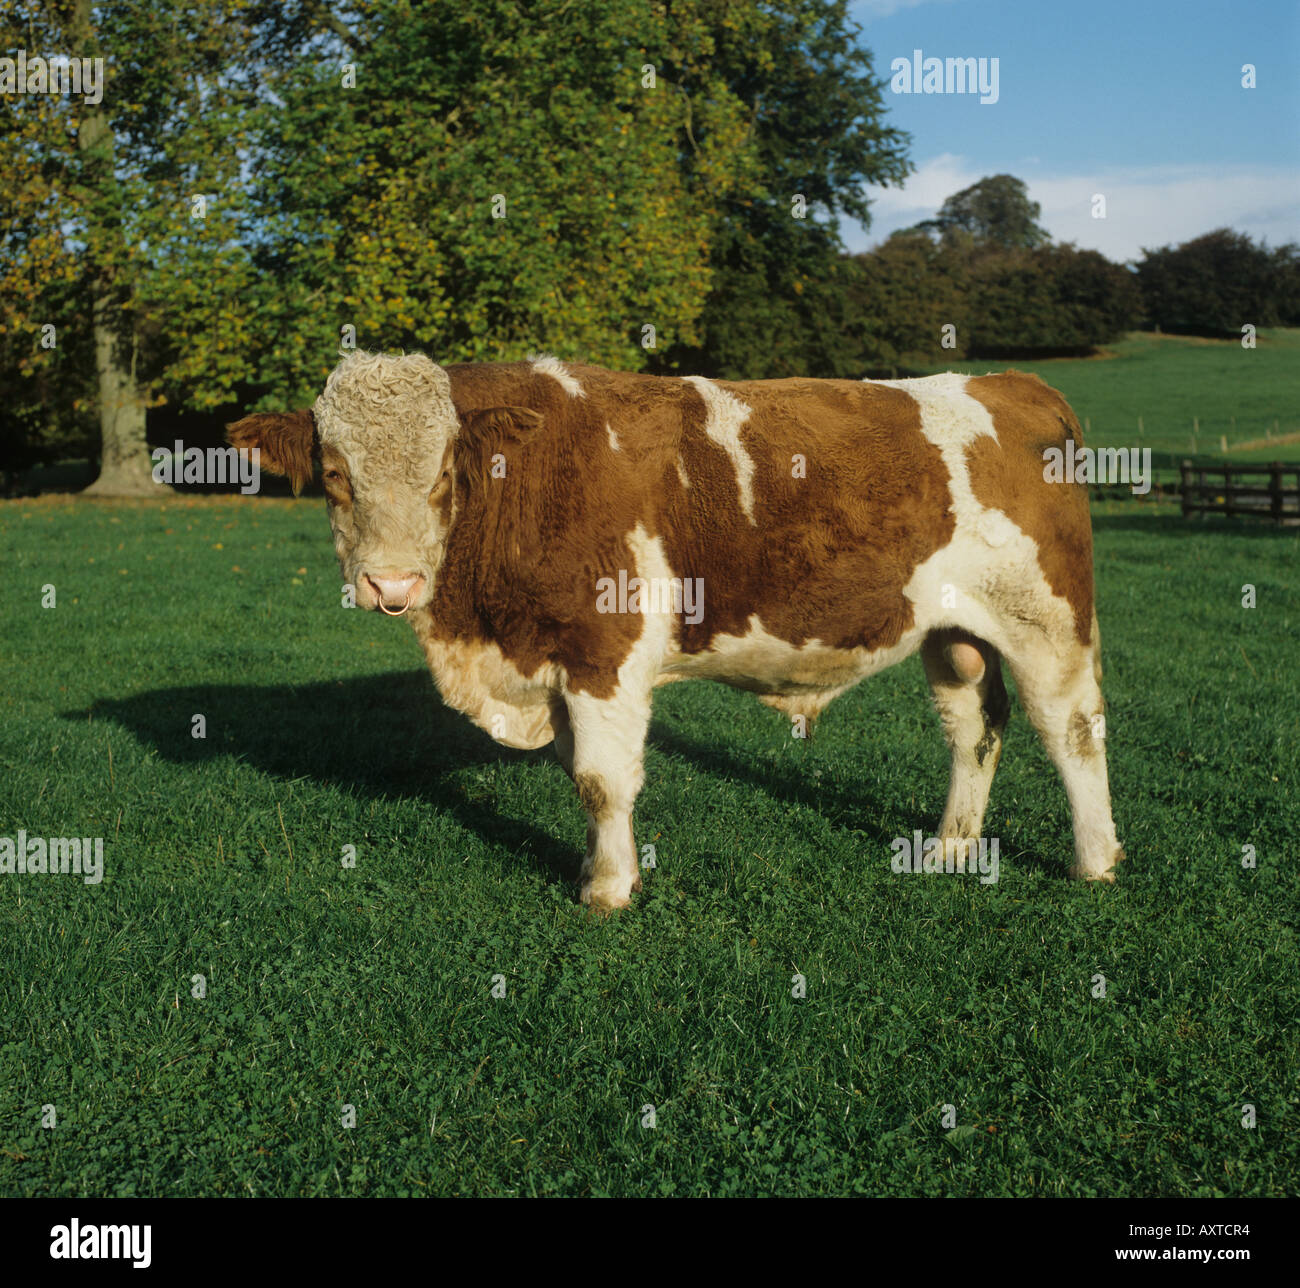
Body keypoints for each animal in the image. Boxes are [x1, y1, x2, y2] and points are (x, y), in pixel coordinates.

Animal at [228, 351, 1124, 910]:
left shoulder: (606, 650)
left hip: (1047, 618)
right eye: (335, 474)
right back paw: (948, 848)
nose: (392, 583)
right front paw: (597, 865)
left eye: (445, 471)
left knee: (1072, 728)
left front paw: (607, 890)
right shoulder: (561, 666)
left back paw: (1096, 860)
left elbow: (601, 780)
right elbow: (579, 774)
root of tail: (1009, 382)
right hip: (955, 630)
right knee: (974, 725)